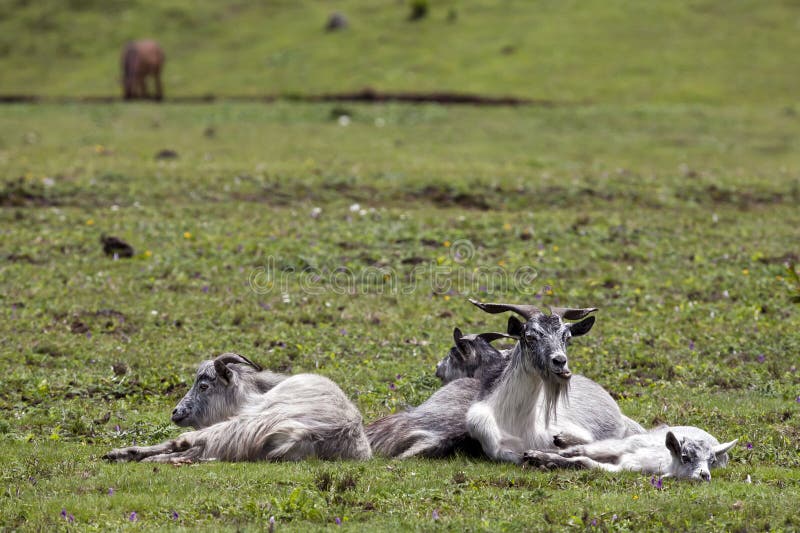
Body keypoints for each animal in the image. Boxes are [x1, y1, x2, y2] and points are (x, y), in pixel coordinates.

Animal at [523, 426, 738, 481]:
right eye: (685, 457)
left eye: (711, 461)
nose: (705, 475)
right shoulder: (627, 446)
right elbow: (581, 451)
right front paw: (538, 454)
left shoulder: (623, 468)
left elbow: (583, 461)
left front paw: (541, 458)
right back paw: (561, 439)